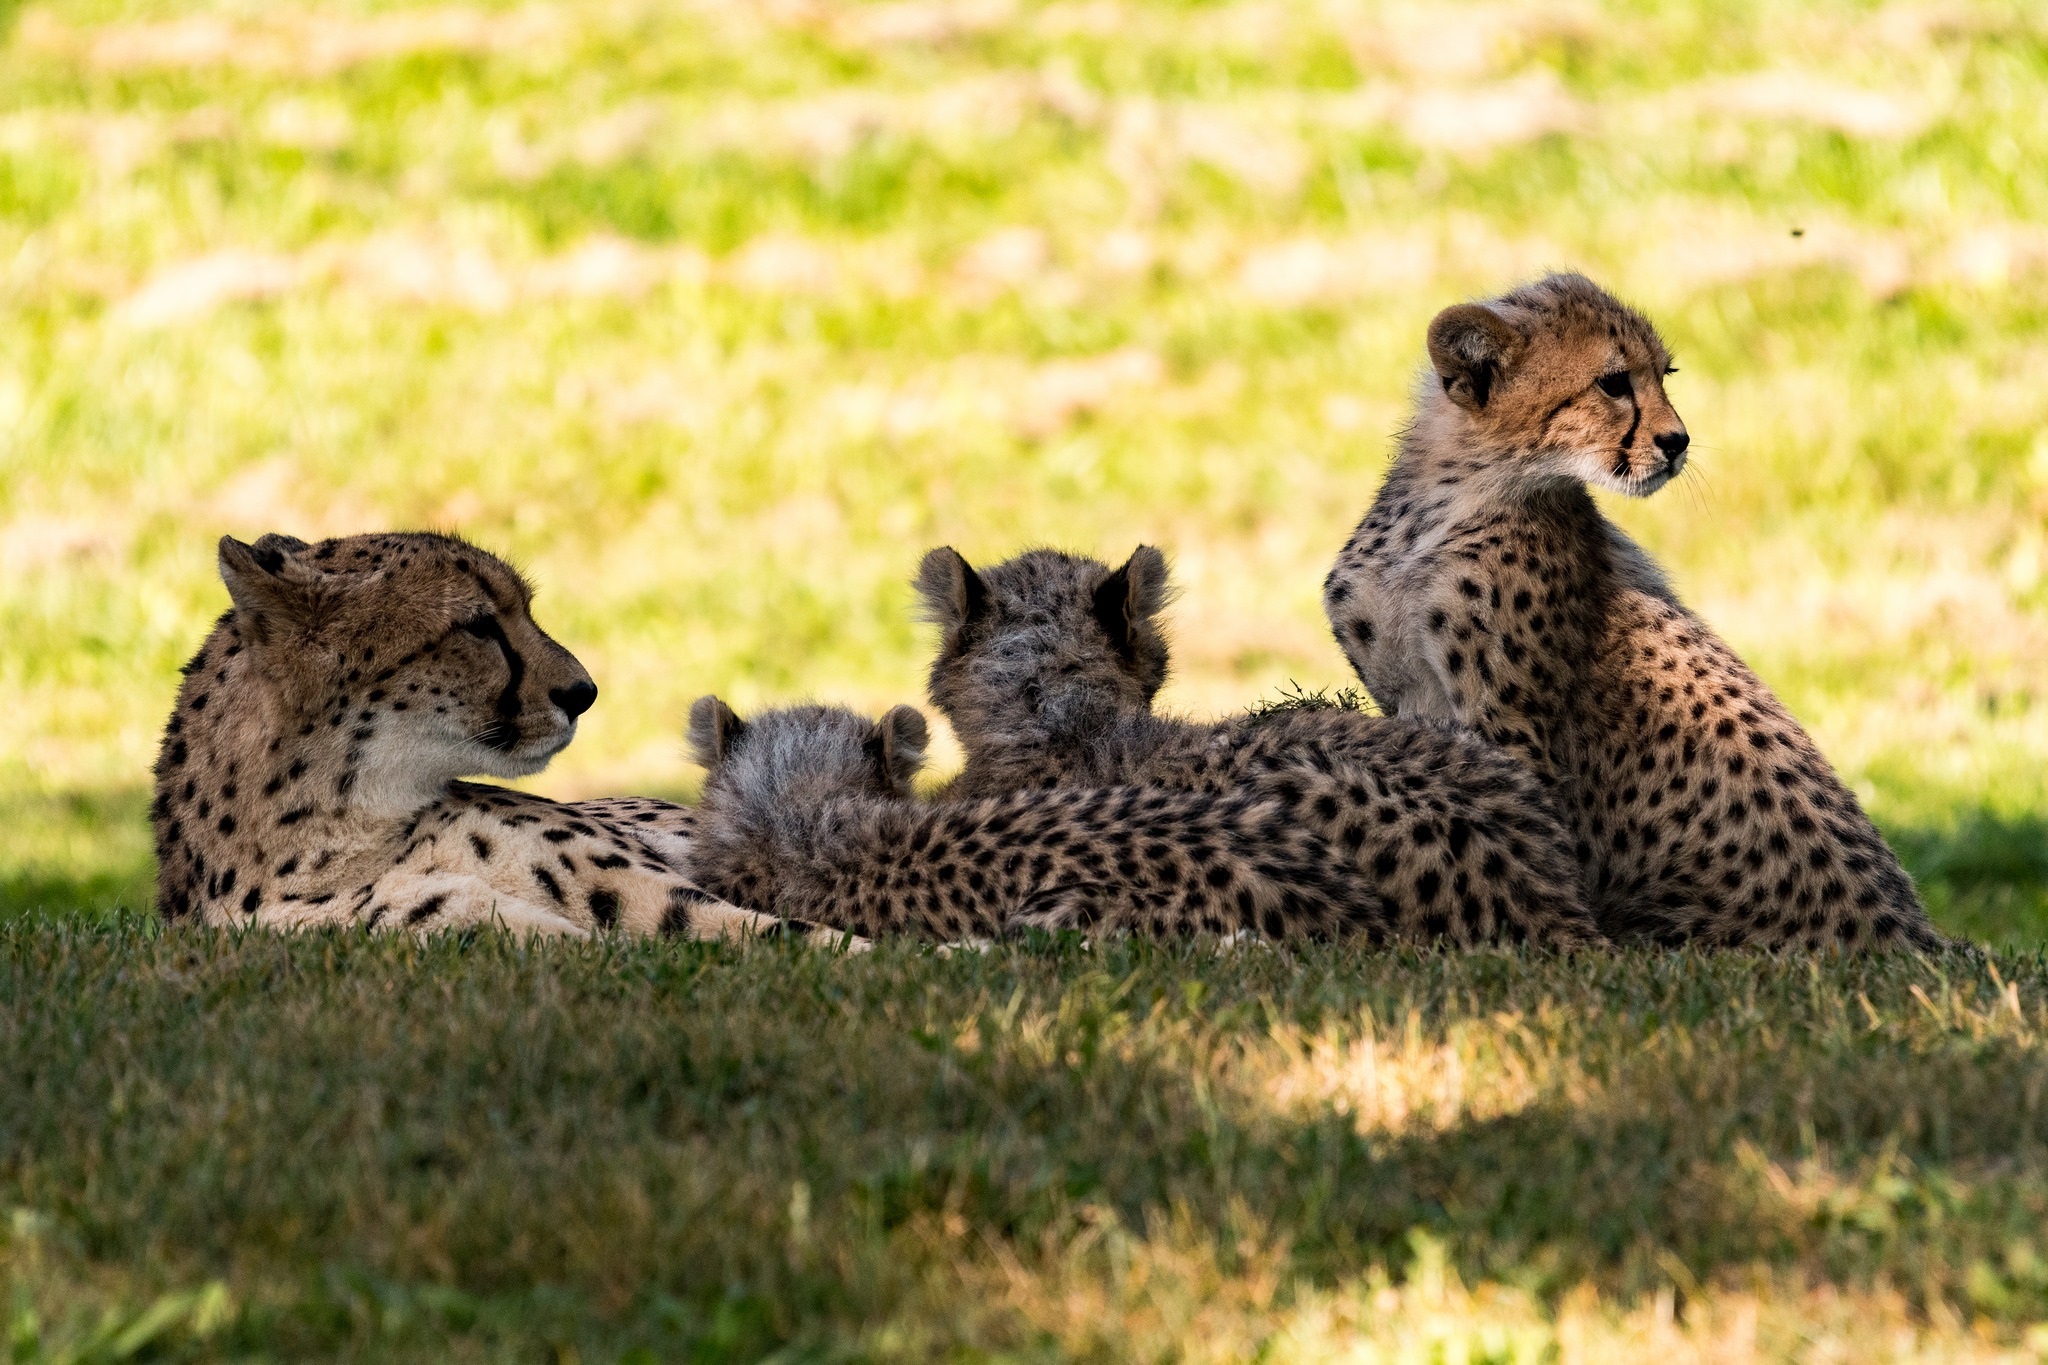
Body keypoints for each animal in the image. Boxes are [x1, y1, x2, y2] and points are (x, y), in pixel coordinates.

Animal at [1320, 271, 1944, 951]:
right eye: (1614, 382)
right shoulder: (1411, 703)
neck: (1450, 497)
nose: (1678, 442)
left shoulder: (1510, 726)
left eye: (1665, 374)